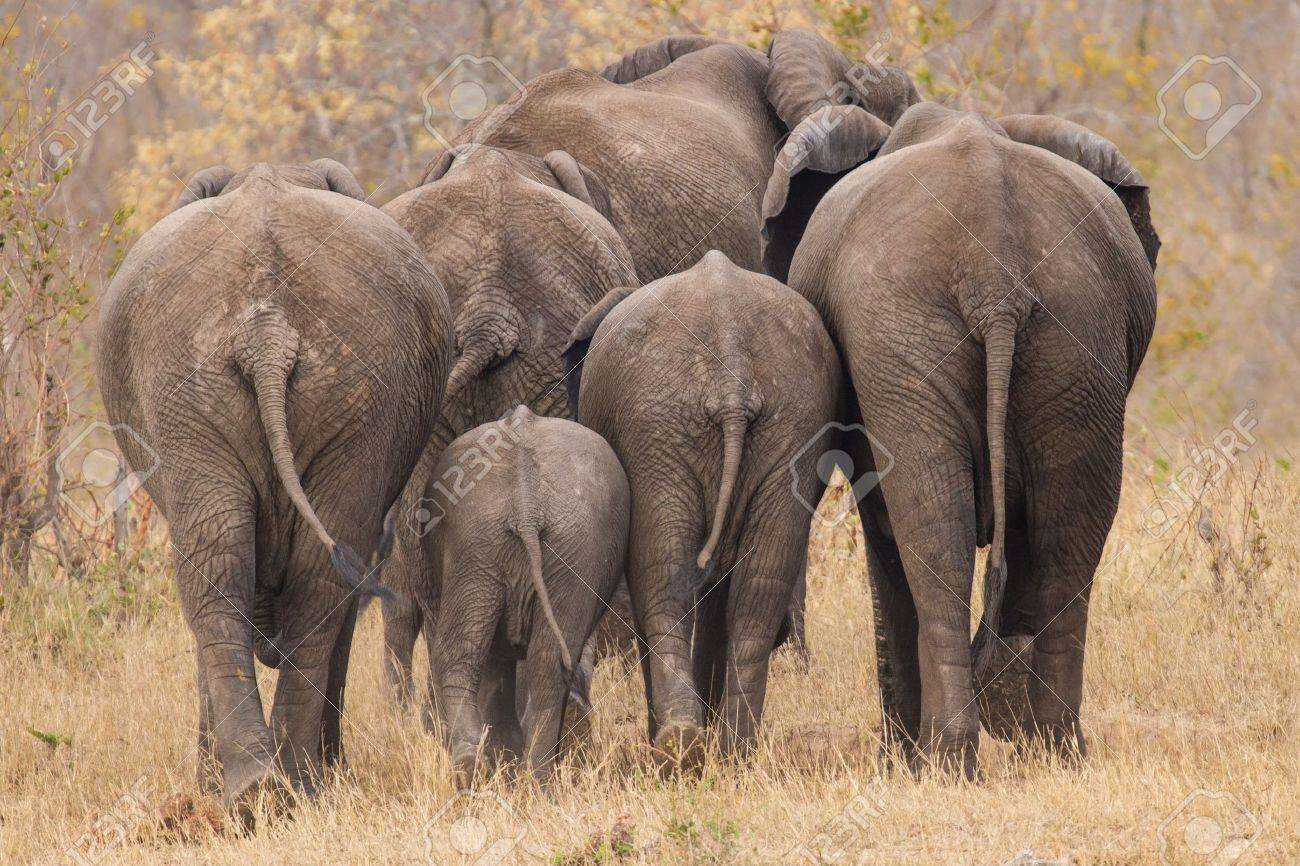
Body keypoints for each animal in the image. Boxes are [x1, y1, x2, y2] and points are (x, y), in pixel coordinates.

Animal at [95, 160, 453, 813]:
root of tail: (267, 331)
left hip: (277, 392)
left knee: (242, 570)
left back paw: (276, 785)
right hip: (216, 389)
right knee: (255, 567)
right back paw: (270, 787)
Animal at [420, 406, 629, 783]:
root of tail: (525, 498)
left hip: (488, 541)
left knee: (471, 652)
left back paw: (482, 770)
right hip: (544, 542)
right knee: (538, 659)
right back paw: (528, 777)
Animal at [564, 250, 842, 764]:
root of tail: (732, 373)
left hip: (658, 430)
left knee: (663, 578)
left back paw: (679, 746)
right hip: (790, 426)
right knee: (757, 592)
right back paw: (732, 751)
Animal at [764, 98, 1159, 776]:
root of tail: (996, 276)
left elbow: (885, 532)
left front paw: (901, 758)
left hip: (909, 336)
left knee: (931, 532)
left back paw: (944, 765)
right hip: (1076, 341)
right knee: (1063, 542)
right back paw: (1054, 753)